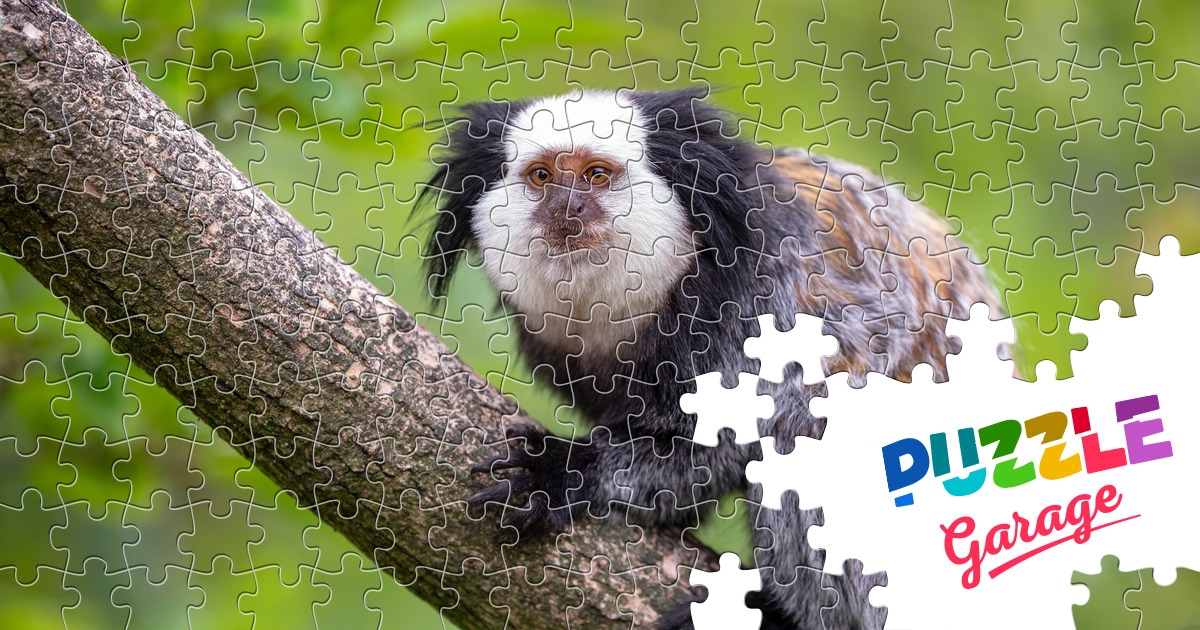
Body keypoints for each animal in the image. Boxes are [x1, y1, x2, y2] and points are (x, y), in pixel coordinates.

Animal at [418, 88, 1004, 629]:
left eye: (596, 175)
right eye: (541, 176)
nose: (566, 209)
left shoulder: (760, 304)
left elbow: (726, 446)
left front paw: (567, 471)